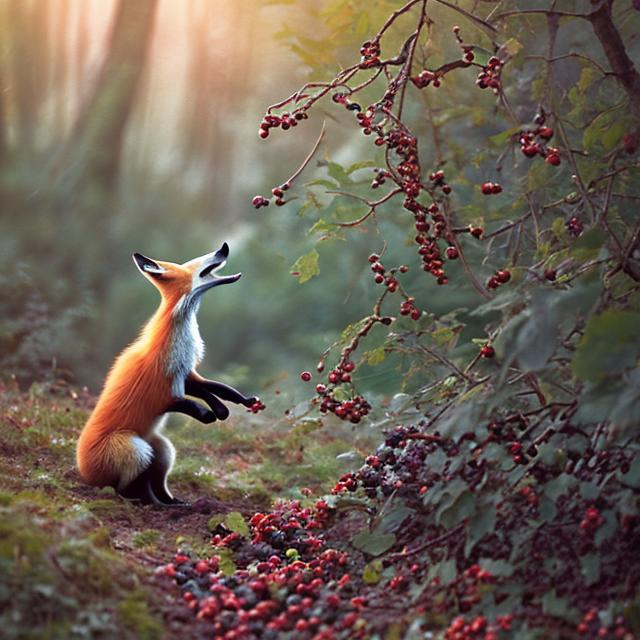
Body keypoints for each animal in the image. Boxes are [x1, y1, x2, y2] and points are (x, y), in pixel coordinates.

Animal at [76, 242, 258, 506]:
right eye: (187, 265)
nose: (223, 248)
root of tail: (83, 471)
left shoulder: (184, 373)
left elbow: (217, 389)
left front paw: (241, 401)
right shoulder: (162, 394)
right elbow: (191, 402)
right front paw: (211, 414)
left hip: (161, 450)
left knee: (156, 480)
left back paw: (172, 502)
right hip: (135, 449)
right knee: (127, 486)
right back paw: (144, 502)